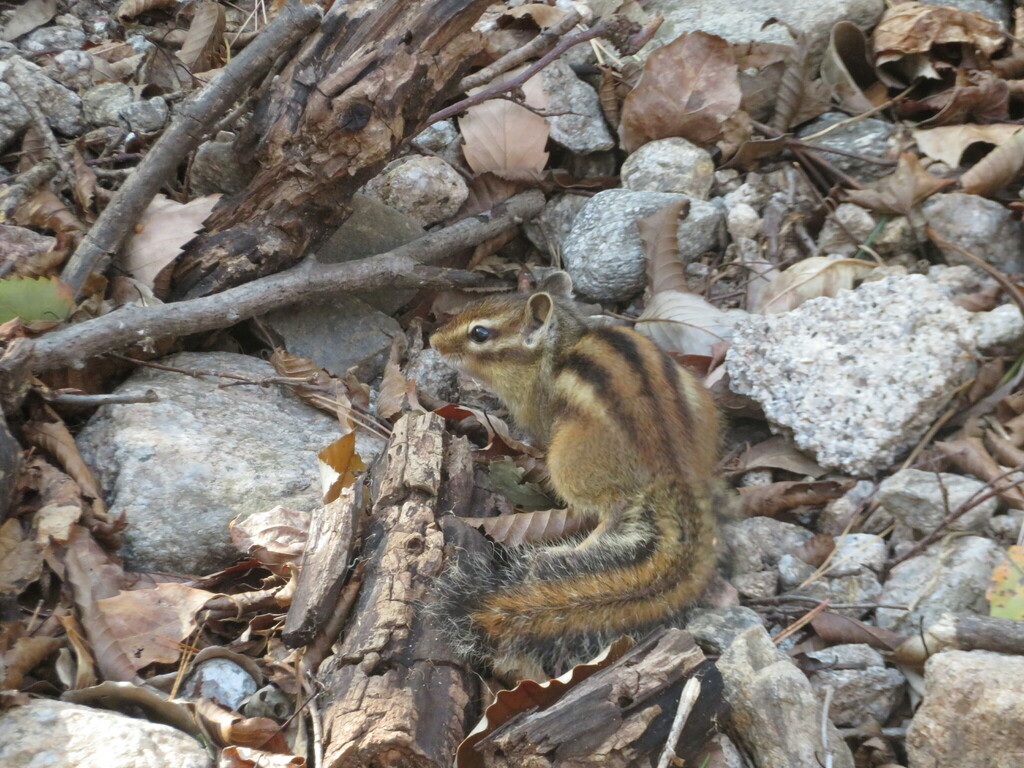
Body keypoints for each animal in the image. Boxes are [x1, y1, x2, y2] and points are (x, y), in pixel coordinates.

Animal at [429, 271, 722, 682]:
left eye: (480, 334)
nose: (432, 340)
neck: (558, 347)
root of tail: (675, 473)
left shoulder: (535, 412)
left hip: (569, 464)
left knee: (613, 510)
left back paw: (566, 551)